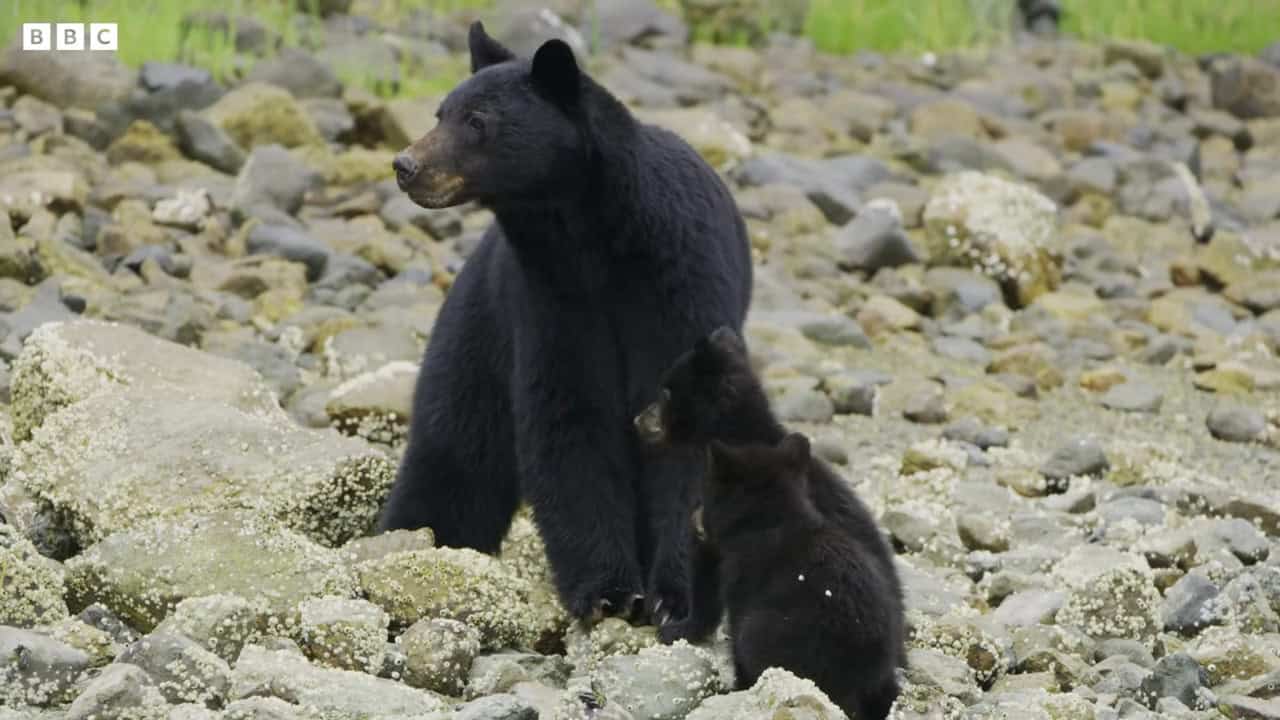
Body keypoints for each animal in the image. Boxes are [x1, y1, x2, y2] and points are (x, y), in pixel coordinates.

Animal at [378, 22, 753, 623]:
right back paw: (410, 537)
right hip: (476, 336)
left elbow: (690, 437)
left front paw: (676, 597)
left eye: (477, 121)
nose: (405, 165)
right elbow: (569, 420)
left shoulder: (683, 291)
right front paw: (609, 592)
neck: (590, 241)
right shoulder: (551, 303)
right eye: (440, 112)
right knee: (455, 458)